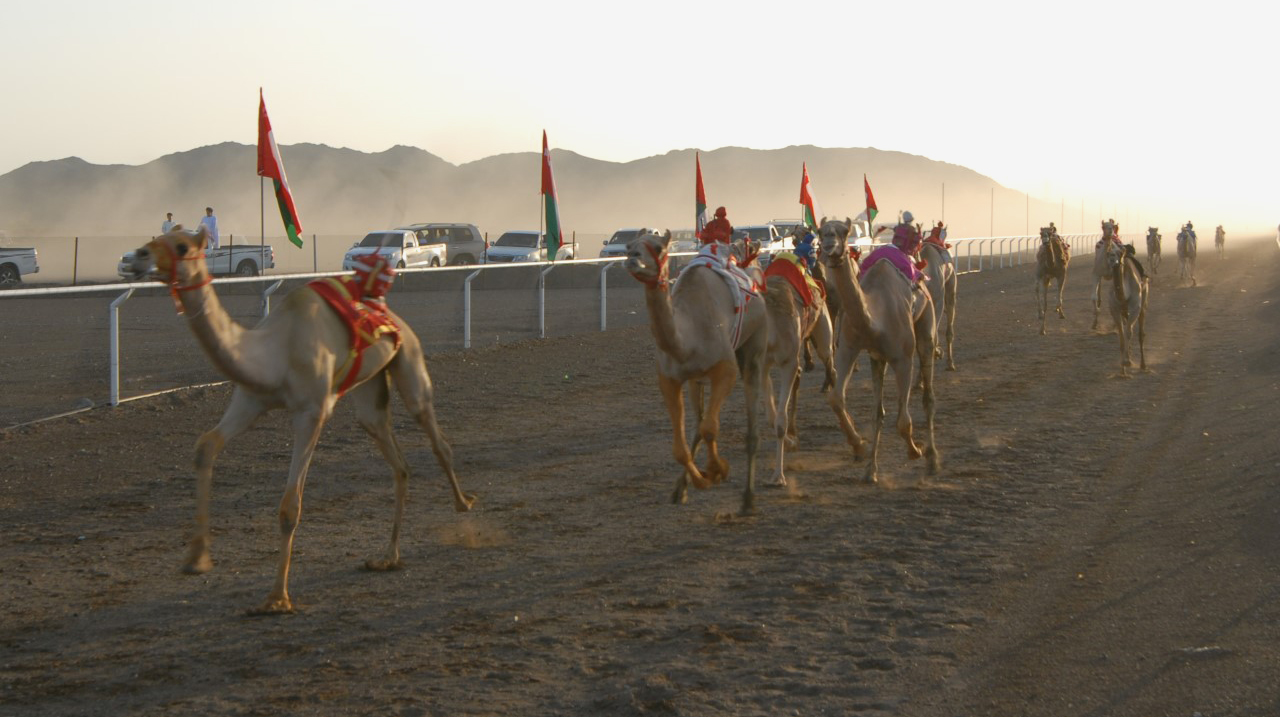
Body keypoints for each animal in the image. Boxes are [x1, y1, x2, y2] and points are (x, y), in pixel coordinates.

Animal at [126, 226, 473, 615]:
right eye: (154, 239)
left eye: (183, 246)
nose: (137, 257)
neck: (275, 351)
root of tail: (389, 313)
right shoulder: (250, 399)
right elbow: (206, 445)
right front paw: (196, 559)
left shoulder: (311, 411)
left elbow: (290, 506)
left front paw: (277, 597)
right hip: (369, 390)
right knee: (397, 460)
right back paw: (387, 557)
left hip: (409, 359)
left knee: (435, 435)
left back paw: (464, 506)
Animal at [623, 229, 768, 514]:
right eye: (629, 245)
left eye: (658, 247)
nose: (633, 258)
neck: (687, 338)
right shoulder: (670, 379)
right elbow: (682, 447)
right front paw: (700, 480)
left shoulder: (726, 368)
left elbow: (711, 428)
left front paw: (718, 470)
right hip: (696, 380)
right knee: (697, 425)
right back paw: (681, 488)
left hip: (754, 349)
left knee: (750, 427)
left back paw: (748, 498)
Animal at [816, 218, 939, 483]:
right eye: (820, 231)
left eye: (844, 231)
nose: (829, 245)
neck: (875, 318)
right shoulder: (849, 349)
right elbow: (836, 398)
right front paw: (860, 449)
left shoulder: (903, 358)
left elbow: (903, 421)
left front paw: (915, 451)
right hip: (878, 359)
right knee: (878, 411)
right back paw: (871, 469)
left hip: (927, 324)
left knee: (928, 397)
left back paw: (933, 460)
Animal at [1104, 238, 1149, 377]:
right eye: (1108, 254)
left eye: (1119, 254)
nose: (1113, 261)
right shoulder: (1114, 309)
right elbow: (1121, 336)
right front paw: (1123, 369)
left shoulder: (1135, 307)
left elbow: (1129, 332)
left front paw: (1127, 362)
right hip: (1124, 311)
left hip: (1143, 302)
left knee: (1140, 333)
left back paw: (1143, 365)